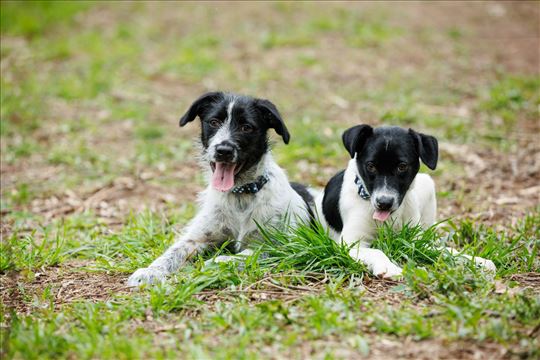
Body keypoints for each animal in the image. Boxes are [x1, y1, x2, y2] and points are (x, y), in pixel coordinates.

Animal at [127, 91, 312, 286]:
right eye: (214, 122)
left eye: (247, 127)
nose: (224, 150)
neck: (240, 194)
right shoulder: (196, 238)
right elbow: (172, 252)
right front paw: (149, 271)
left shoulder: (280, 246)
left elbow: (246, 254)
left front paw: (215, 262)